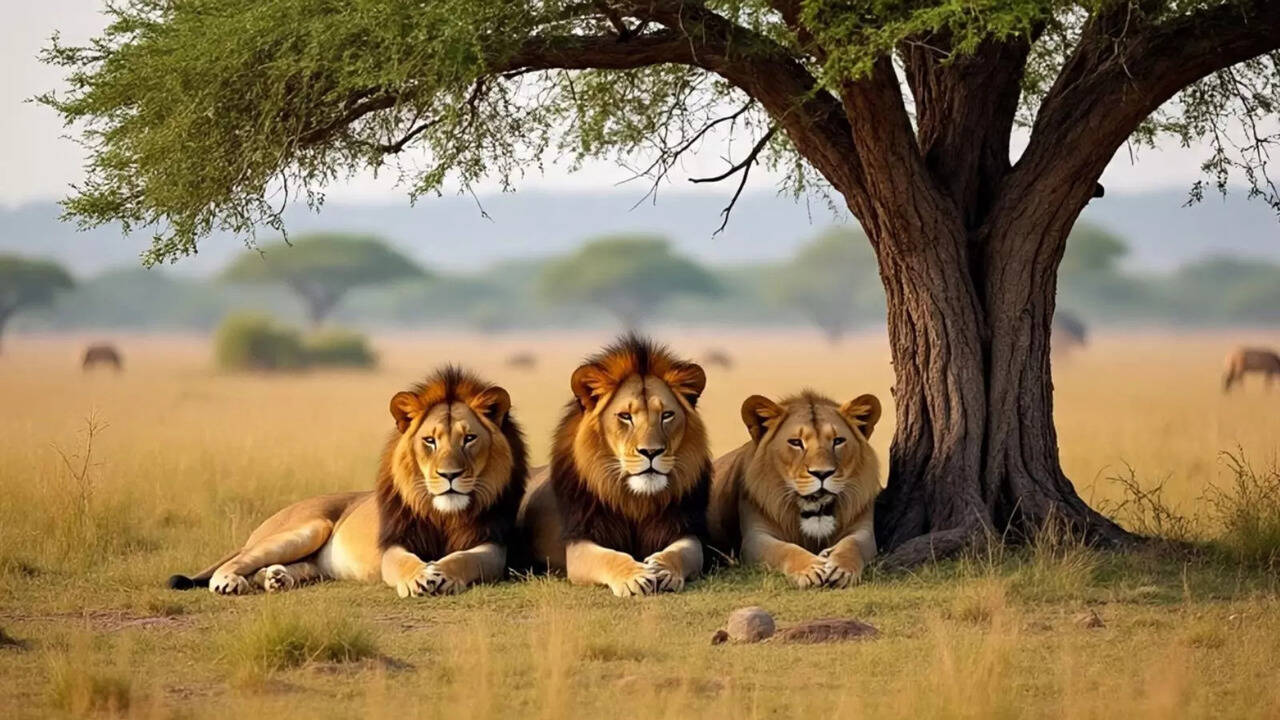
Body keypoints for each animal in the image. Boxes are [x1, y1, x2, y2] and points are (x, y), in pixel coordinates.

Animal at [167, 366, 527, 597]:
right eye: (430, 441)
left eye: (469, 438)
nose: (449, 475)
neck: (442, 513)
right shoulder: (392, 544)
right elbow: (404, 562)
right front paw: (418, 578)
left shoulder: (492, 545)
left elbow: (464, 558)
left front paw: (444, 574)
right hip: (307, 529)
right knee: (239, 561)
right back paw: (229, 581)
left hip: (313, 559)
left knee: (294, 568)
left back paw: (277, 579)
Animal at [516, 335, 711, 597]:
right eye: (625, 416)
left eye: (667, 415)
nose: (651, 452)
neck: (636, 501)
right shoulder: (579, 541)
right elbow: (609, 557)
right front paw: (635, 575)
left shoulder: (684, 530)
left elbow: (681, 553)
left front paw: (663, 569)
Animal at [708, 390, 881, 589]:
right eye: (796, 442)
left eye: (838, 441)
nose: (822, 473)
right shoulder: (754, 537)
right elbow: (784, 549)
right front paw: (810, 569)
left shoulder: (864, 531)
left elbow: (852, 545)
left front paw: (841, 569)